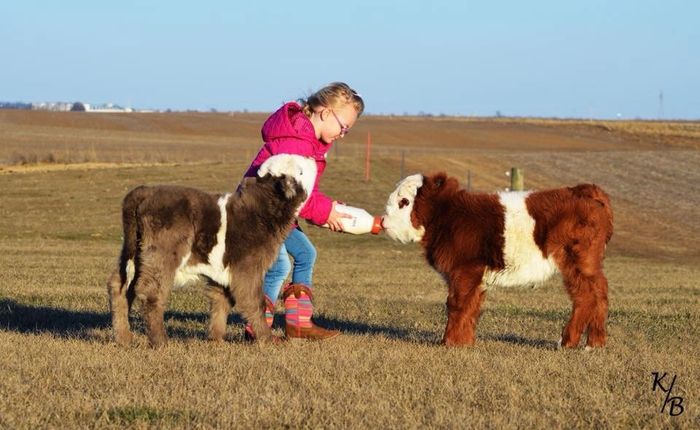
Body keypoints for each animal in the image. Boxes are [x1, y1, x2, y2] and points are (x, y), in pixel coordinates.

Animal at [106, 155, 314, 346]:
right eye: (301, 172)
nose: (312, 158)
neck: (261, 211)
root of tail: (145, 191)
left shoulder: (223, 271)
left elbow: (221, 301)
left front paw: (216, 339)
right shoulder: (248, 269)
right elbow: (255, 301)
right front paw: (267, 339)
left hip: (134, 254)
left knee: (120, 287)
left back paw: (124, 338)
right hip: (161, 256)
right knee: (150, 292)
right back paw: (160, 341)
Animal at [382, 173, 612, 348]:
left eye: (404, 202)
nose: (383, 221)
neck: (448, 218)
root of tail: (583, 191)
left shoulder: (465, 271)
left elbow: (457, 304)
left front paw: (449, 342)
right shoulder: (474, 276)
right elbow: (471, 306)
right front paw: (465, 342)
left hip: (575, 260)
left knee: (586, 297)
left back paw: (567, 341)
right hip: (589, 264)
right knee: (600, 293)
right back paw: (594, 343)